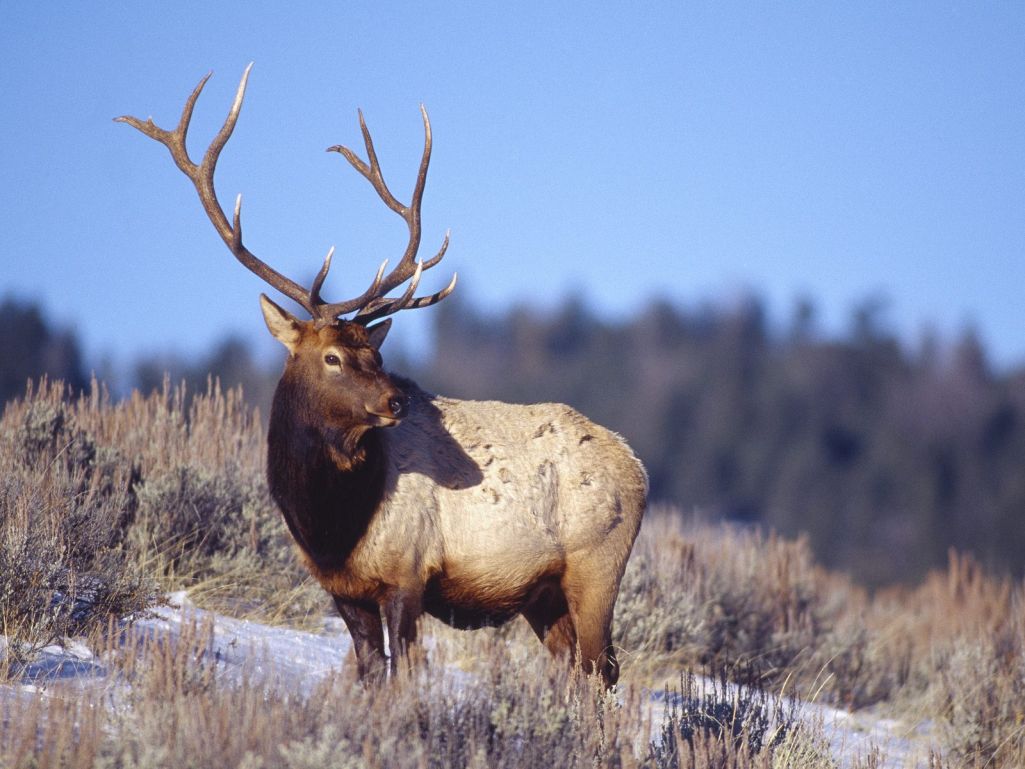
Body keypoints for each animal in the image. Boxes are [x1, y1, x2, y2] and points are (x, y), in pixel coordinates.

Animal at [117, 66, 647, 684]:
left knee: (602, 672)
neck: (330, 525)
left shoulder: (407, 573)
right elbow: (371, 674)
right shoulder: (343, 590)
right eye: (333, 357)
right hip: (544, 596)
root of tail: (638, 468)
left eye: (375, 352)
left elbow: (405, 676)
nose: (398, 401)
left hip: (596, 567)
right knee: (578, 674)